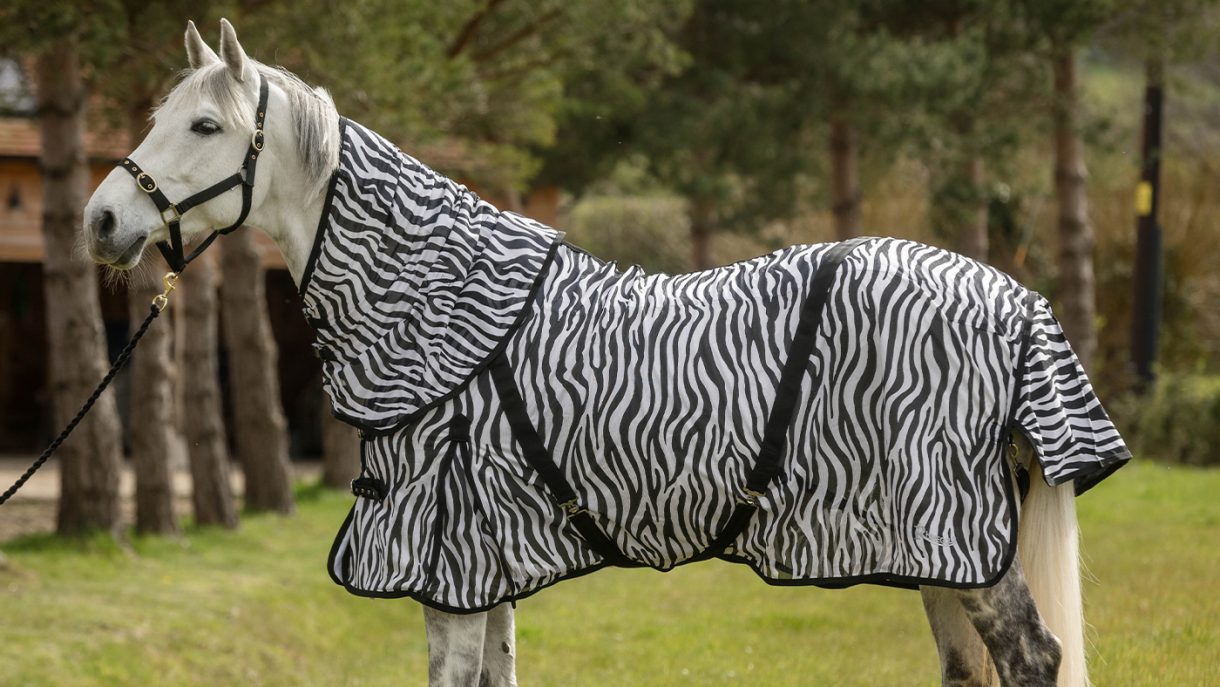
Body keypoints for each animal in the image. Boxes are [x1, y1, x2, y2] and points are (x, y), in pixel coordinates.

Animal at [82, 19, 1129, 687]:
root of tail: (1015, 300)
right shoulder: (485, 564)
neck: (437, 306)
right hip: (933, 547)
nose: (101, 219)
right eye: (157, 117)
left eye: (205, 125)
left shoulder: (448, 564)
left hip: (960, 538)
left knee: (1030, 658)